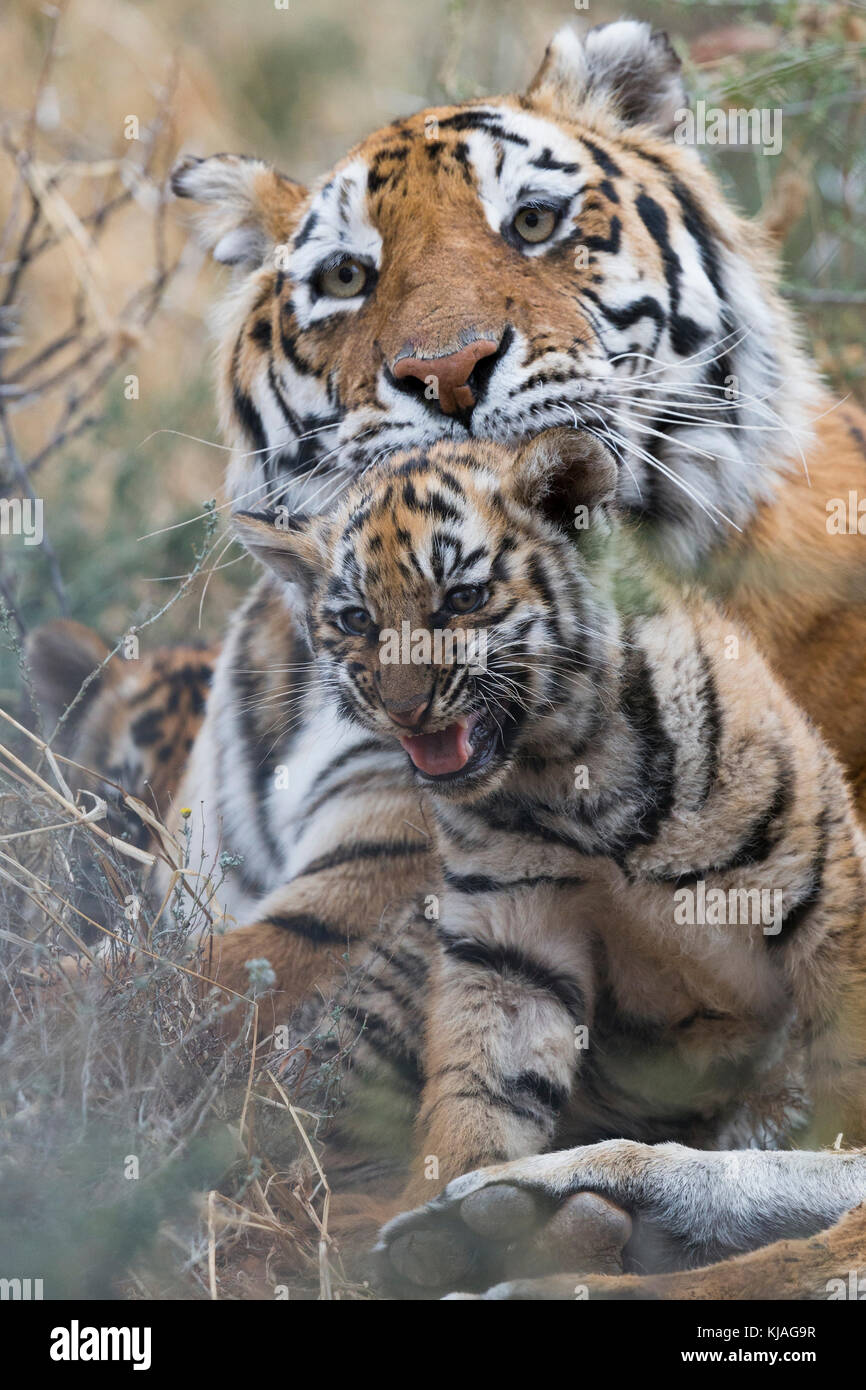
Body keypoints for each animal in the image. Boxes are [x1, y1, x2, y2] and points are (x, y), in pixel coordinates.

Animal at [230, 427, 866, 1299]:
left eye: (462, 599)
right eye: (357, 619)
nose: (403, 707)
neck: (567, 778)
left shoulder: (822, 896)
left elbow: (846, 1072)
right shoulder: (510, 939)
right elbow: (480, 1088)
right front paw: (442, 1203)